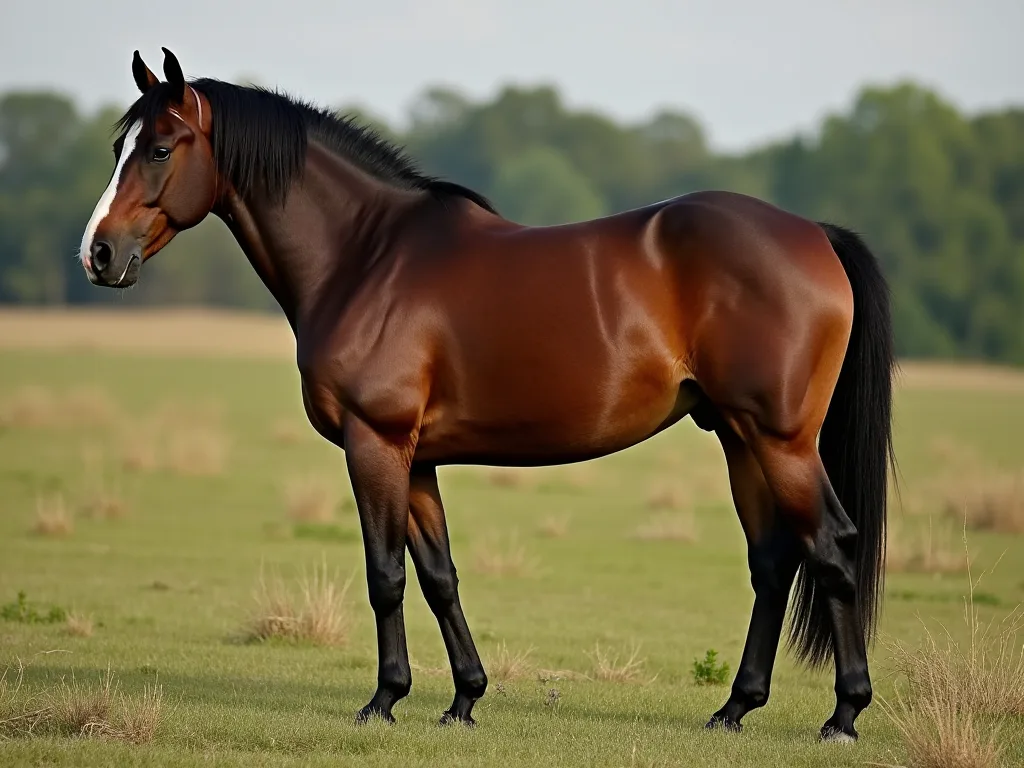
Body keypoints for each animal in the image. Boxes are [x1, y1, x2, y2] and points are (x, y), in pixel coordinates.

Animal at [79, 48, 895, 742]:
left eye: (160, 149)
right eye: (118, 149)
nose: (98, 253)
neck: (367, 258)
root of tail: (813, 234)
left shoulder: (374, 442)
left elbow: (385, 575)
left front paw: (383, 701)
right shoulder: (416, 459)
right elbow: (438, 575)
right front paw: (463, 699)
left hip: (781, 439)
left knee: (830, 545)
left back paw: (843, 716)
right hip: (736, 436)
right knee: (773, 561)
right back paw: (734, 709)